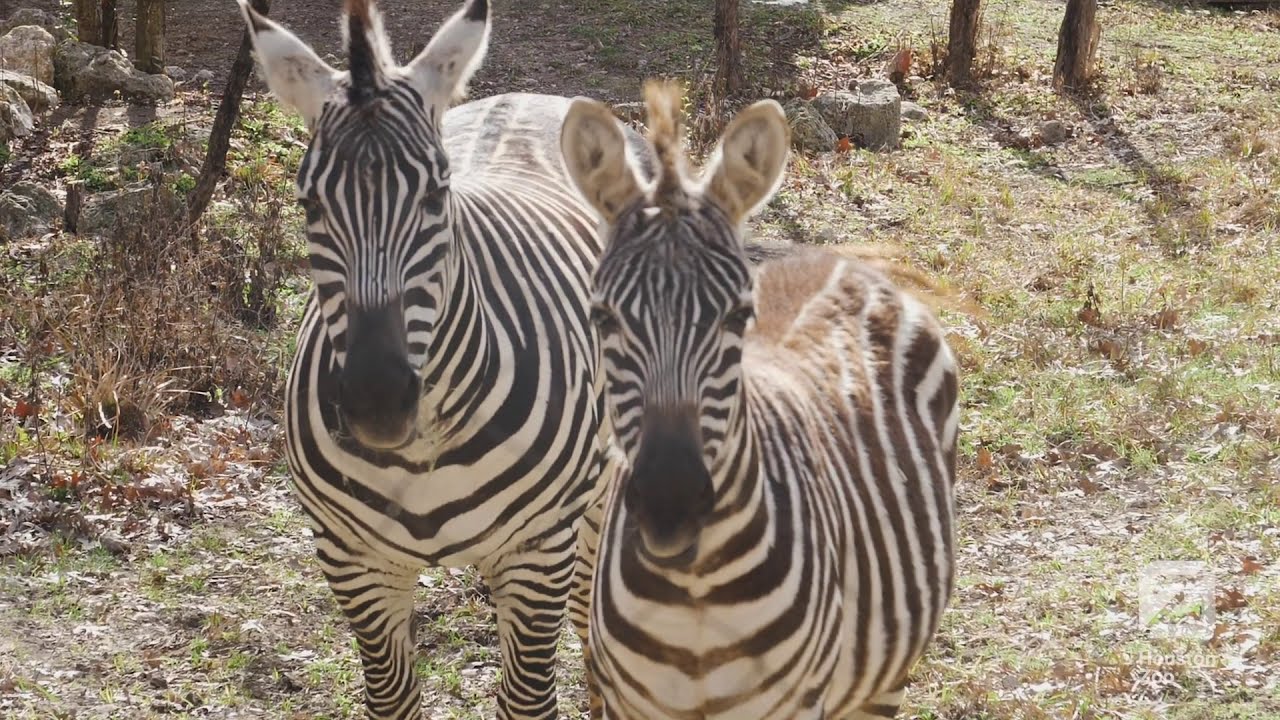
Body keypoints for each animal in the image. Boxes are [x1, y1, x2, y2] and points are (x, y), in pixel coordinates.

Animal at [237, 1, 622, 717]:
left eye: (437, 195)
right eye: (309, 202)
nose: (376, 405)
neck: (423, 447)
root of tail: (534, 97)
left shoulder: (537, 550)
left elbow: (527, 699)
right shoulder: (352, 559)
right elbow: (392, 697)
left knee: (594, 612)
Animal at [557, 81, 960, 720]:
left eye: (738, 316)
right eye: (603, 317)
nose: (669, 506)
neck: (694, 593)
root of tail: (834, 254)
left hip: (884, 676)